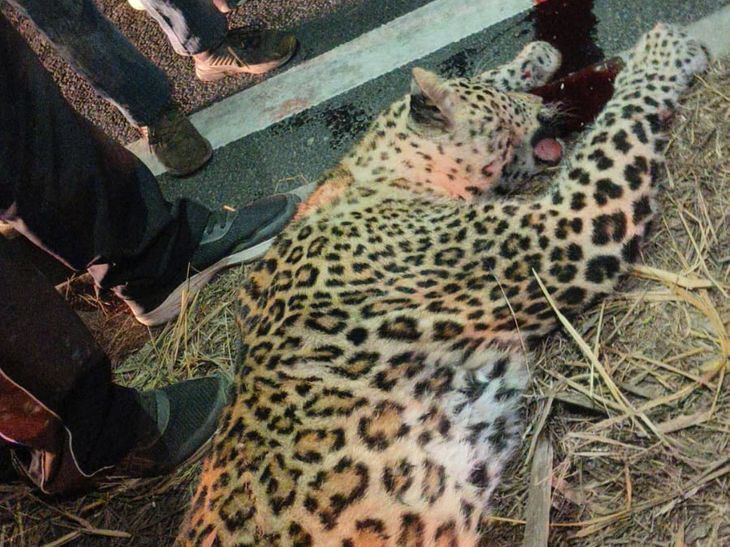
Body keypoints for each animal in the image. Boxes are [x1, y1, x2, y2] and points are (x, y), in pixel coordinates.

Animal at [178, 23, 708, 546]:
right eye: (510, 106)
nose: (543, 107)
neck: (384, 177)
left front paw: (534, 57)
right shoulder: (560, 232)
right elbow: (620, 119)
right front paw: (662, 50)